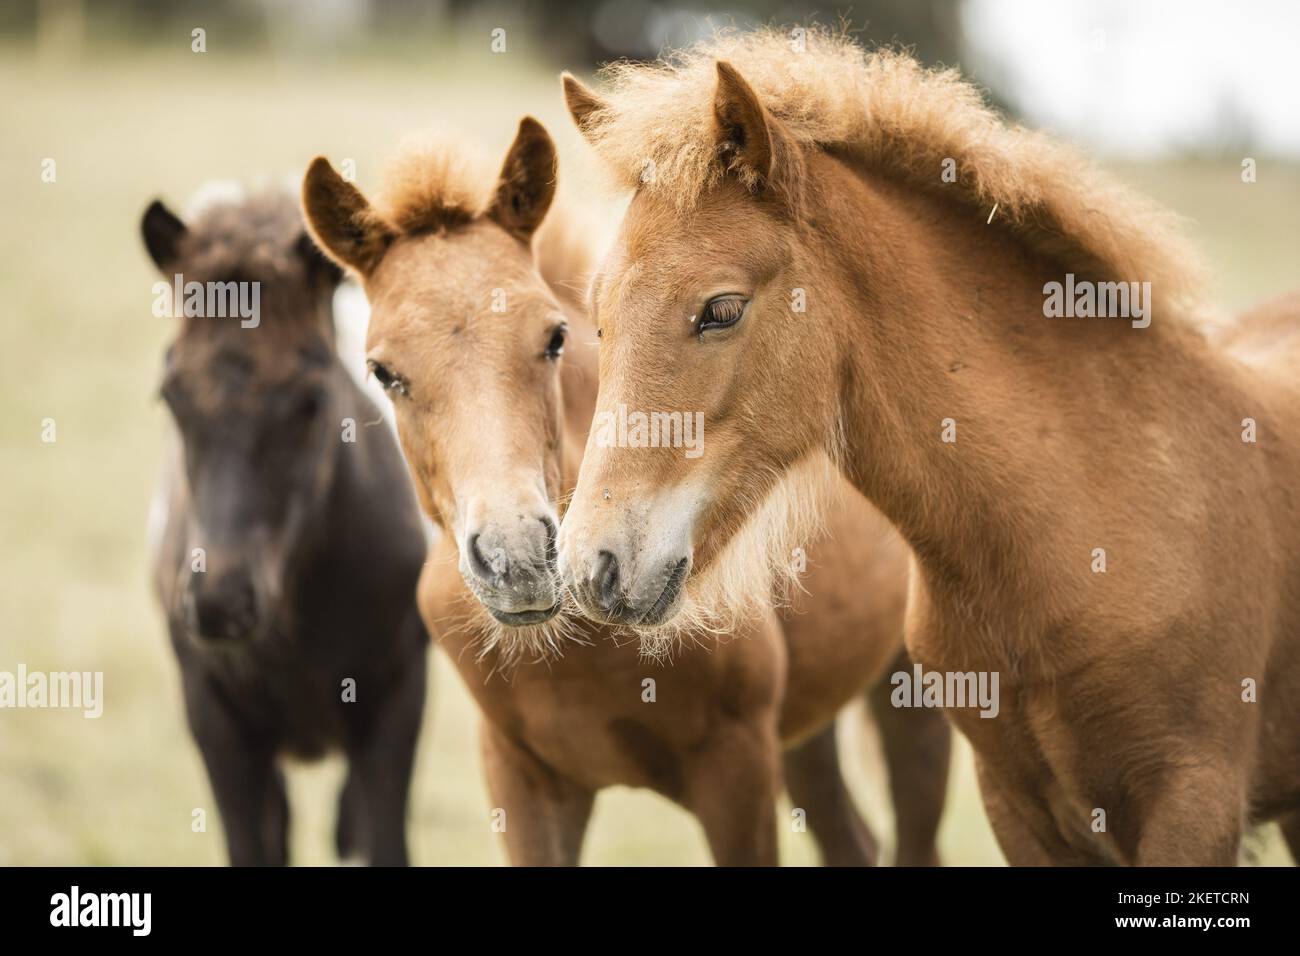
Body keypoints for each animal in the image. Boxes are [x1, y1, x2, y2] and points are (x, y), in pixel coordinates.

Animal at [142, 190, 429, 865]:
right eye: (170, 394)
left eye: (313, 398)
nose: (220, 604)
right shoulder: (214, 714)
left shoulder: (398, 695)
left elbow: (384, 840)